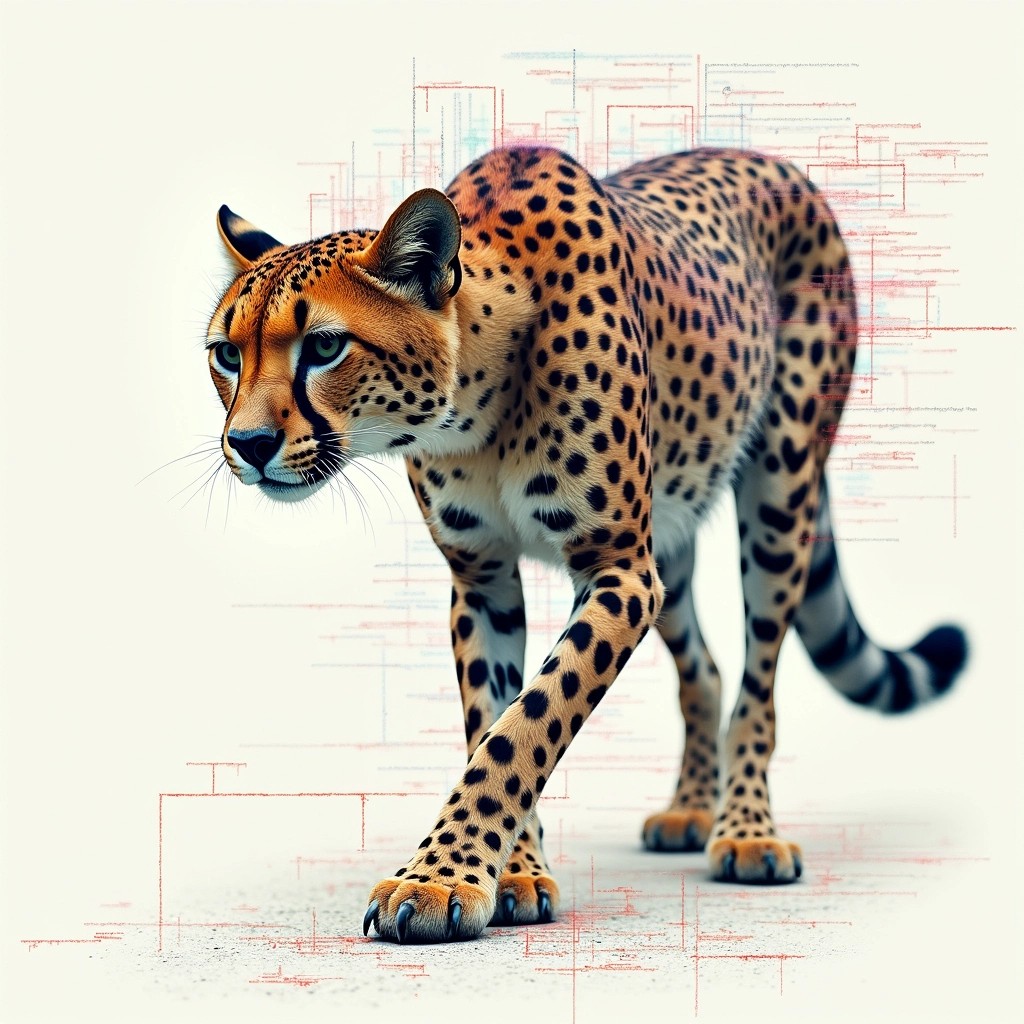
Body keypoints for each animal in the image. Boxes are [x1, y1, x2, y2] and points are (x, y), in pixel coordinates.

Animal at [204, 145, 967, 944]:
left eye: (324, 346)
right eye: (226, 354)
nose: (247, 444)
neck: (476, 402)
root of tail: (773, 161)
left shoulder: (618, 571)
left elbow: (526, 724)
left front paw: (438, 881)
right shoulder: (486, 579)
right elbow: (490, 719)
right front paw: (509, 873)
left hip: (779, 491)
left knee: (758, 683)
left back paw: (747, 831)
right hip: (671, 540)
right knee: (705, 670)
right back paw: (692, 809)